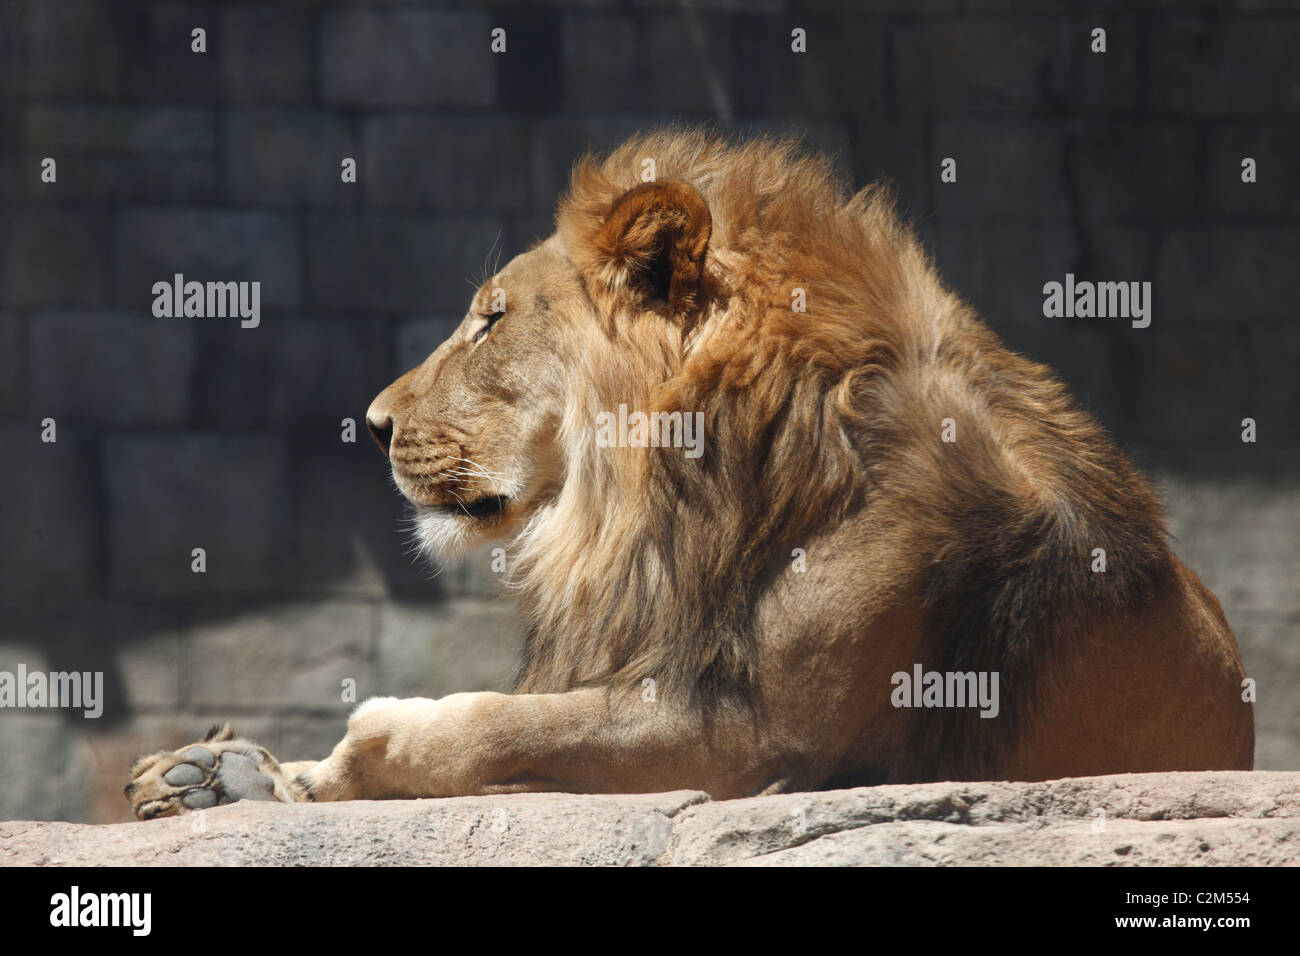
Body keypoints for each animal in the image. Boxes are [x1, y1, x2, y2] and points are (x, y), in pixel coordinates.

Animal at [127, 129, 1252, 820]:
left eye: (490, 319)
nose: (371, 424)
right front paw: (230, 775)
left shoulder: (750, 741)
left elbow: (489, 726)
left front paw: (359, 744)